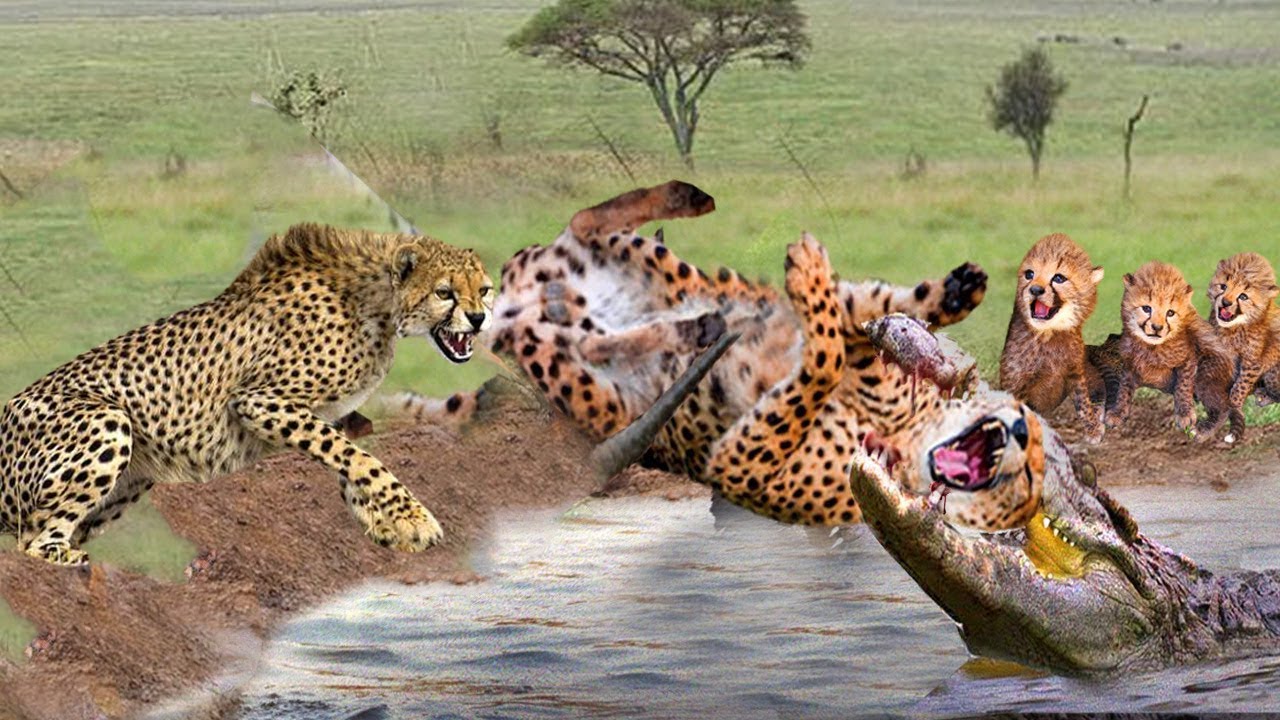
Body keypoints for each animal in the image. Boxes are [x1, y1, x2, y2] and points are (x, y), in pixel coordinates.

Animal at [0, 222, 493, 565]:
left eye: (483, 290)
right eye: (444, 292)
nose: (479, 318)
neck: (378, 302)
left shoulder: (325, 413)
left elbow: (350, 460)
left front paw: (386, 524)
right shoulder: (259, 401)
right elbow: (362, 460)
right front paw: (414, 518)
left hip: (131, 480)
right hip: (109, 421)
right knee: (33, 542)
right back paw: (65, 557)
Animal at [398, 181, 1034, 531]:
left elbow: (837, 339)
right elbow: (844, 322)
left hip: (595, 388)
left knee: (586, 323)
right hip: (642, 285)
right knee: (587, 230)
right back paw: (689, 219)